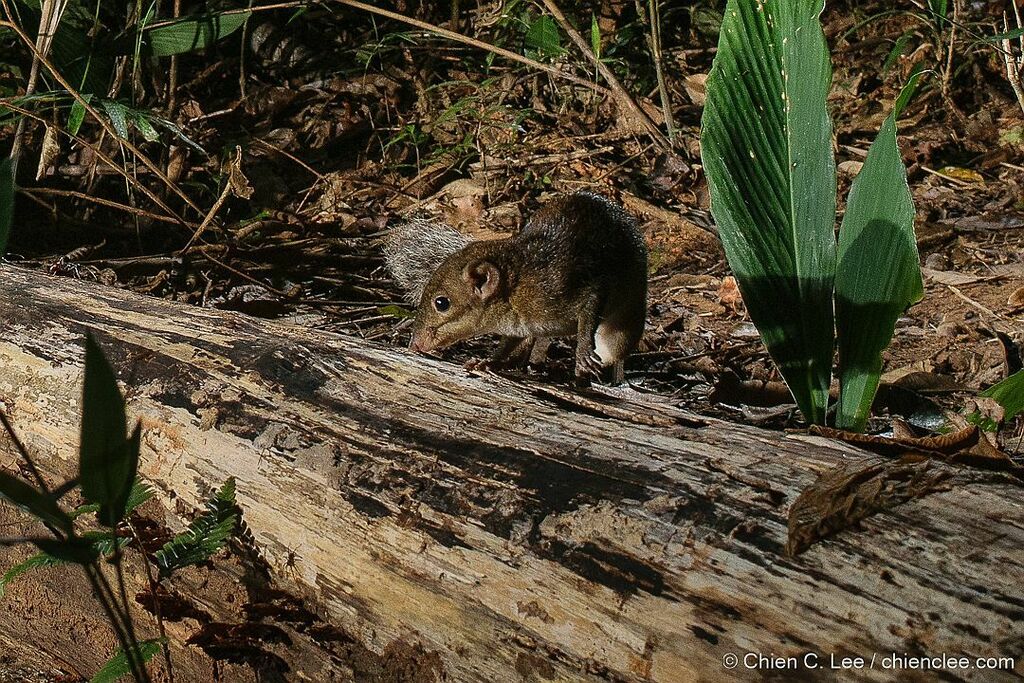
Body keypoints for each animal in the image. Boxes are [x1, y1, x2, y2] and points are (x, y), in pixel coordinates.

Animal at [386, 191, 648, 386]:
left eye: (441, 303)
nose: (414, 345)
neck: (515, 290)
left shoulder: (574, 288)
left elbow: (588, 315)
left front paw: (583, 353)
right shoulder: (519, 327)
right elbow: (507, 345)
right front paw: (488, 362)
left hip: (622, 330)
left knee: (616, 354)